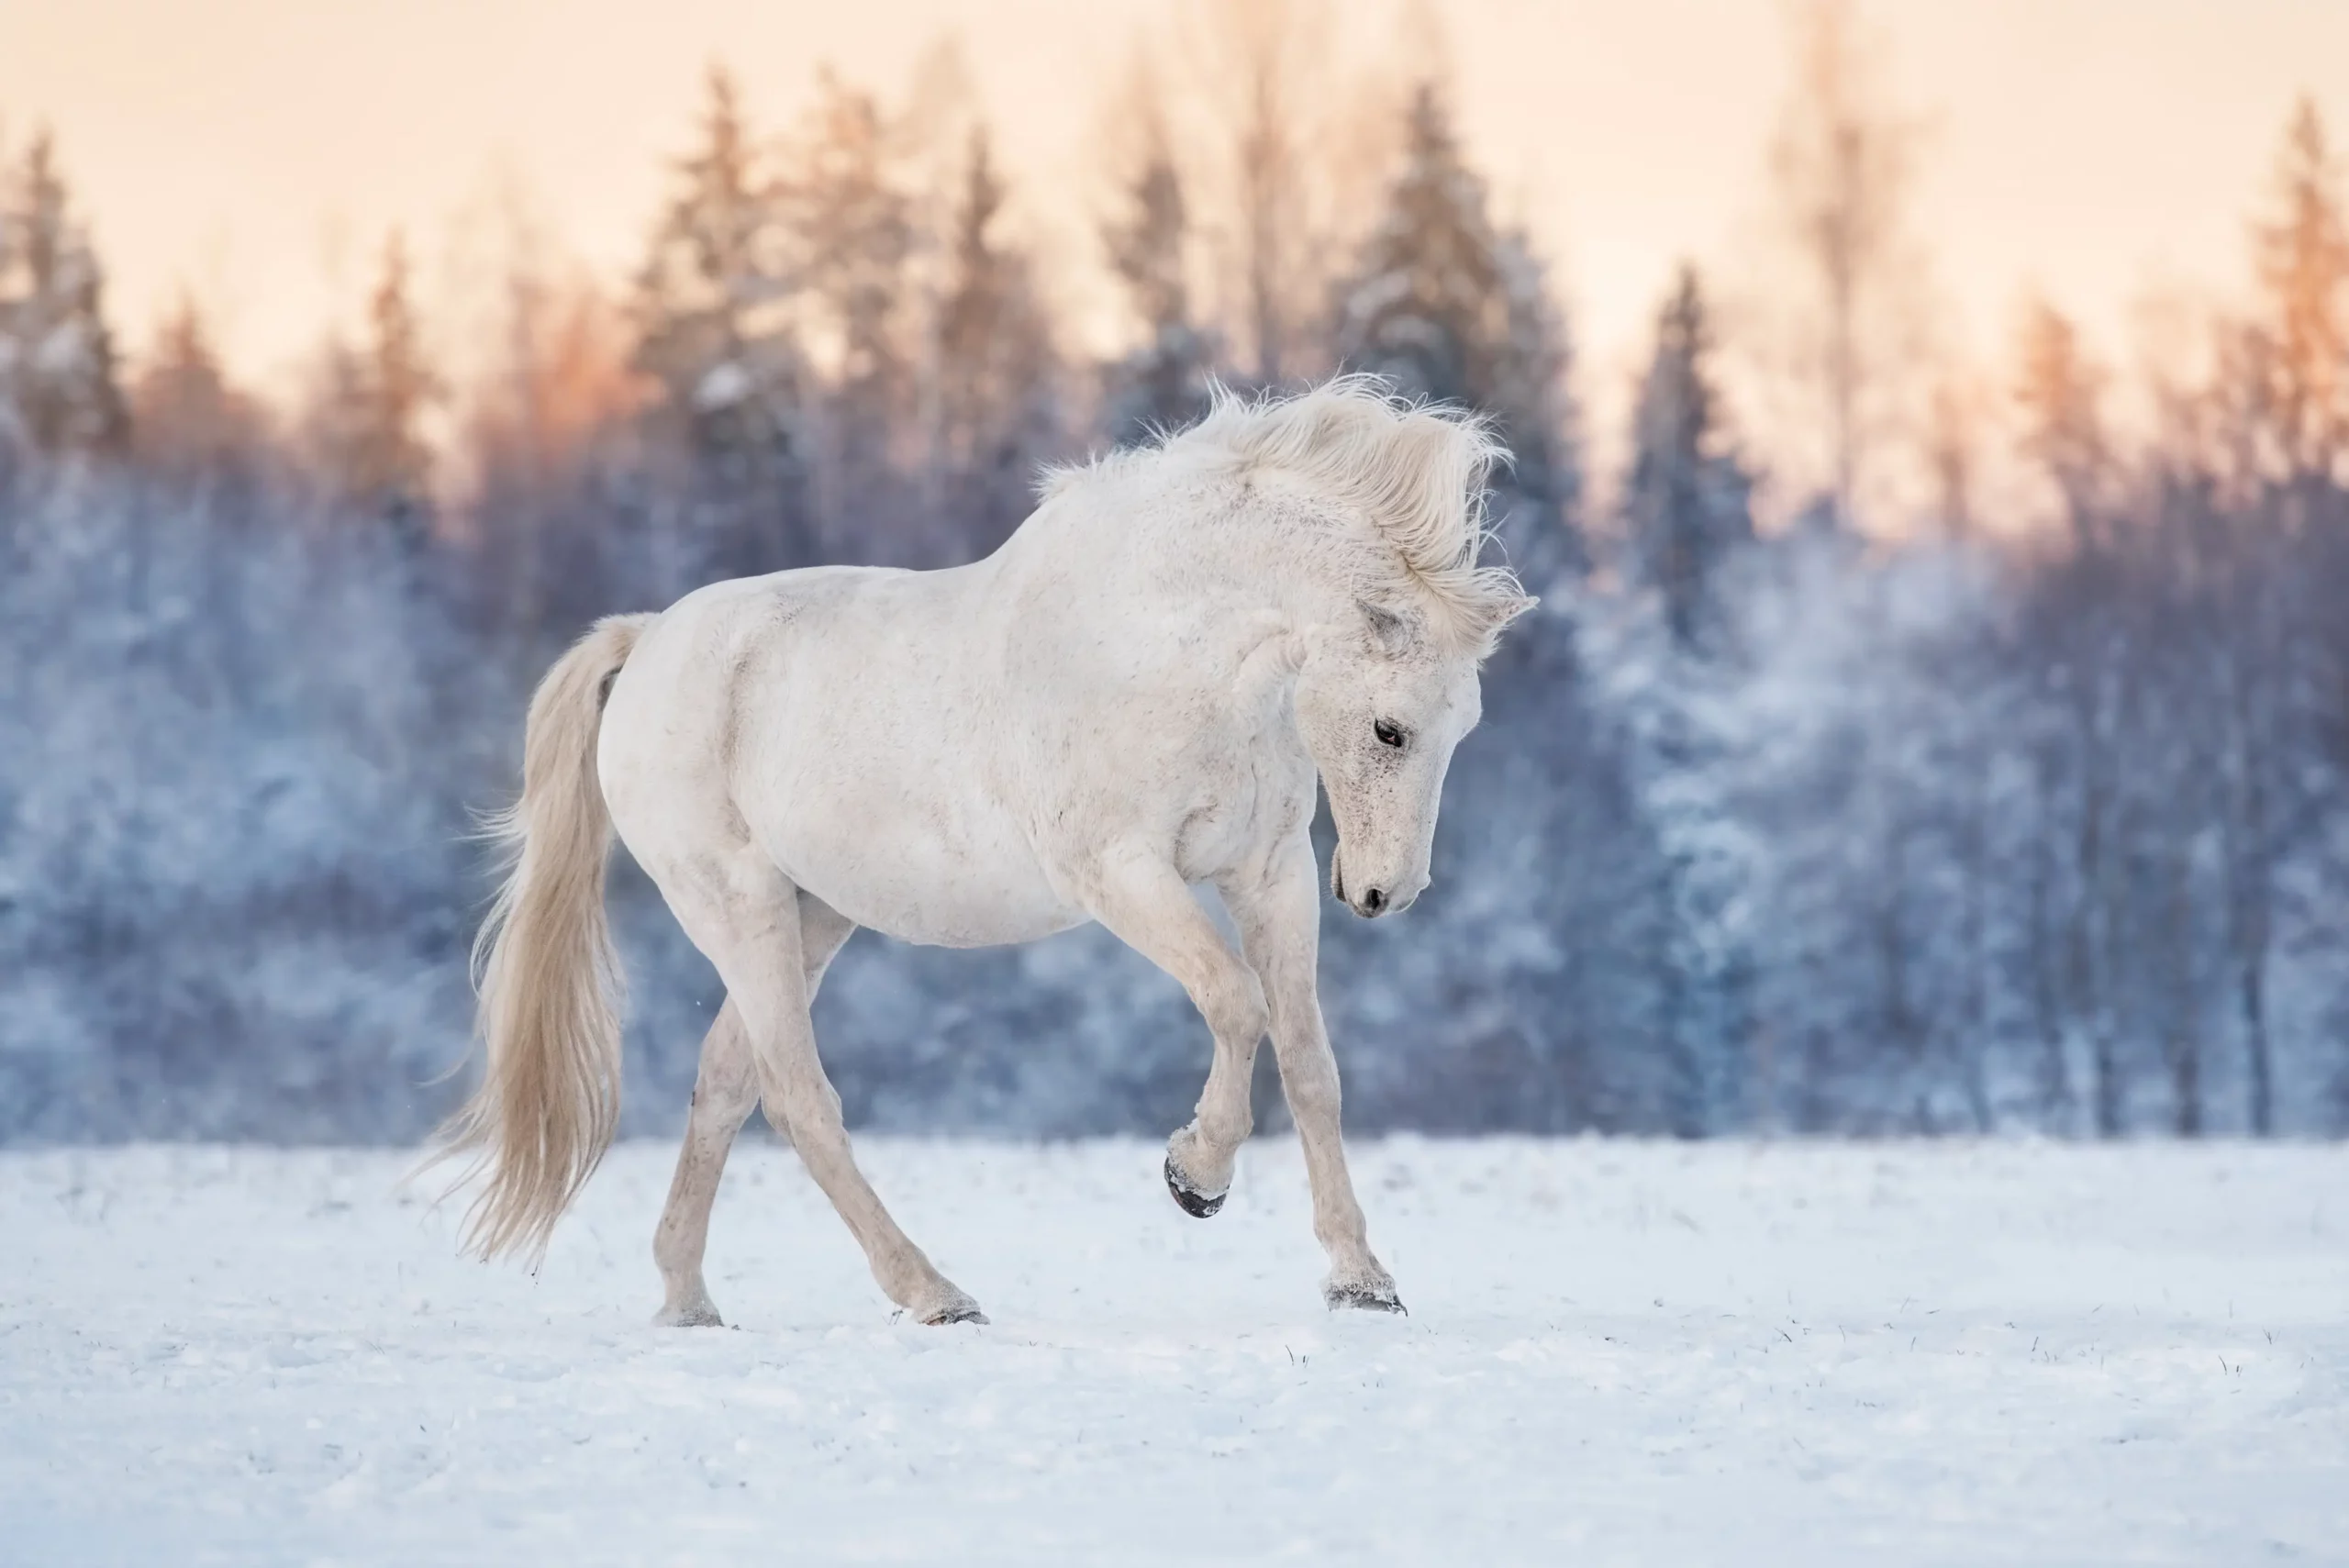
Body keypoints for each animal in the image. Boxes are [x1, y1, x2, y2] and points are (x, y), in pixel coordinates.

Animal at [436, 376, 1534, 1326]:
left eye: (1466, 726)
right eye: (1390, 729)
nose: (1385, 892)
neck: (1169, 644)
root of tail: (648, 640)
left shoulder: (1270, 875)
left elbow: (1309, 1061)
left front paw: (1361, 1280)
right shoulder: (1121, 873)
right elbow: (1236, 1003)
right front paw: (1195, 1176)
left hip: (810, 915)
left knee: (726, 1088)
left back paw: (688, 1298)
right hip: (732, 904)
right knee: (798, 1097)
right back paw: (934, 1293)